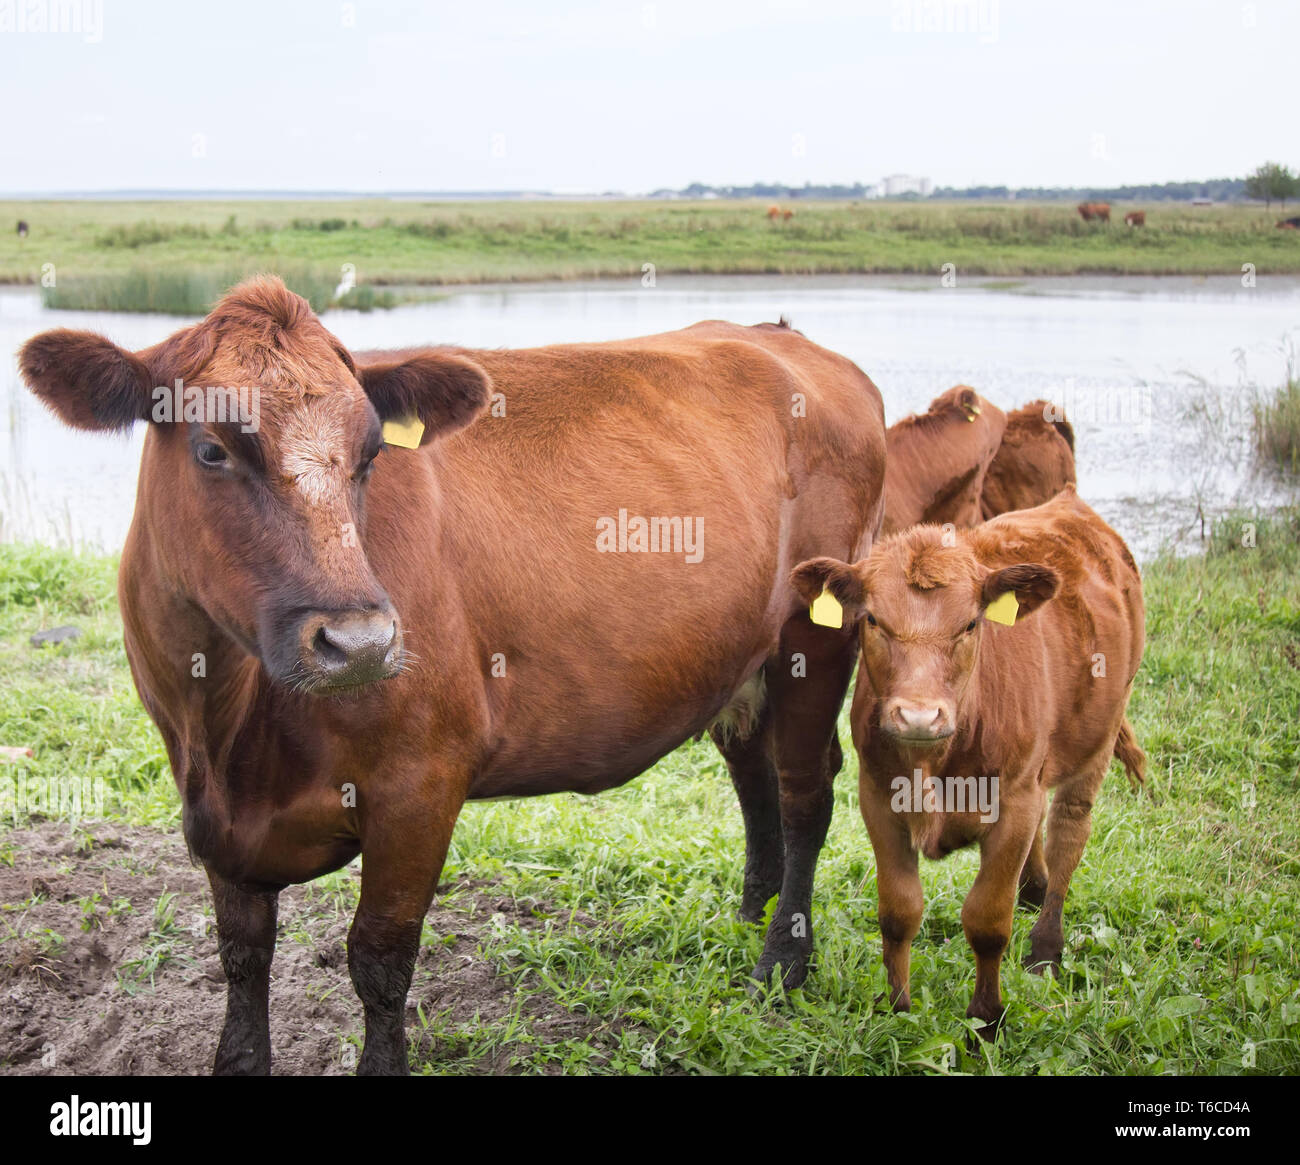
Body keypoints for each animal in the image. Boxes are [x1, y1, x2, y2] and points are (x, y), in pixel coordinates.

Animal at [20, 277, 886, 1074]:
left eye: (371, 454)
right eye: (210, 448)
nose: (361, 643)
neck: (227, 728)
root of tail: (784, 338)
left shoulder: (420, 784)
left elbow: (378, 959)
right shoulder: (218, 822)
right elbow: (242, 956)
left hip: (815, 638)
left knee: (805, 792)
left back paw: (782, 961)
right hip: (742, 660)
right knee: (753, 775)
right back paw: (750, 913)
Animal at [790, 487, 1144, 1036]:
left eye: (971, 624)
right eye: (873, 619)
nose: (918, 716)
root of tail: (1069, 504)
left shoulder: (1014, 804)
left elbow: (987, 922)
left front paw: (986, 1022)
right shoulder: (878, 799)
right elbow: (899, 911)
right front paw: (897, 1010)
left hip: (1098, 739)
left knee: (1069, 829)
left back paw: (1046, 949)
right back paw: (1034, 888)